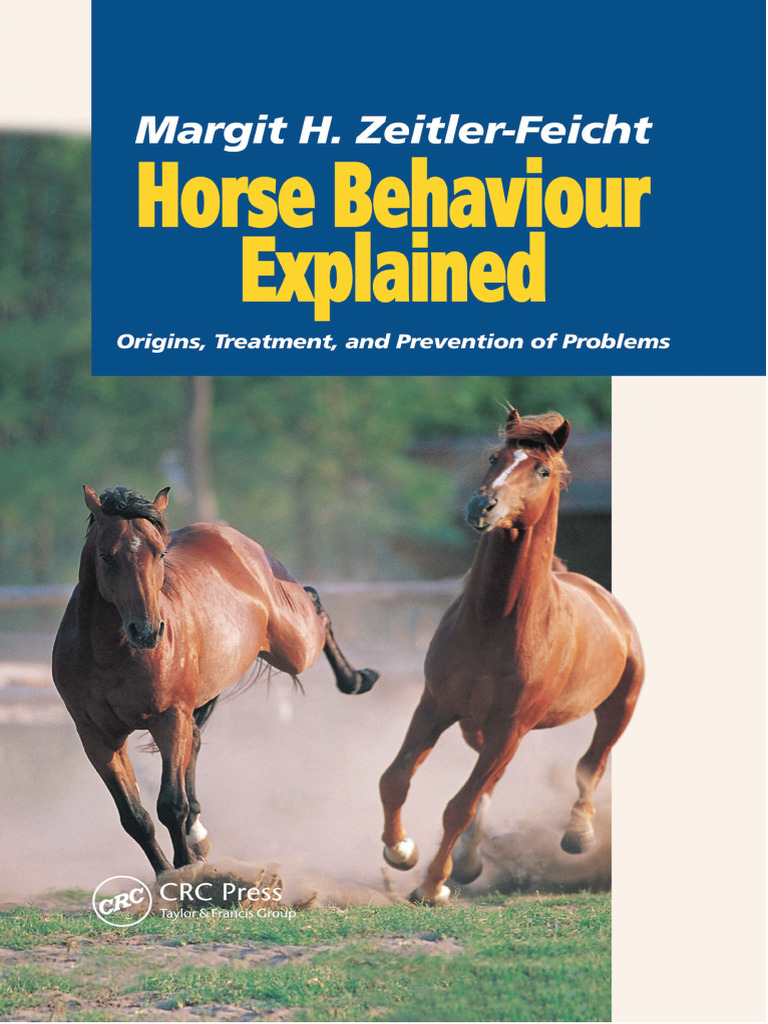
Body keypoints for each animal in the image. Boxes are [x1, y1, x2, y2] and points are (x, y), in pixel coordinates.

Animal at [52, 485, 377, 876]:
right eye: (106, 556)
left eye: (159, 552)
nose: (147, 631)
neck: (110, 654)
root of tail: (232, 538)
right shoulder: (97, 737)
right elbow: (135, 817)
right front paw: (167, 870)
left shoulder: (169, 717)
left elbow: (170, 804)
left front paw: (184, 868)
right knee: (193, 746)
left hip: (294, 647)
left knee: (316, 606)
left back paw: (357, 678)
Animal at [379, 408, 644, 905]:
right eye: (493, 458)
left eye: (542, 470)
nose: (482, 506)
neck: (495, 624)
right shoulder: (435, 705)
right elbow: (396, 779)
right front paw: (401, 851)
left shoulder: (510, 726)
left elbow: (459, 805)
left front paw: (432, 886)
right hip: (476, 728)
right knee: (492, 783)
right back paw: (468, 860)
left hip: (619, 705)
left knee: (591, 763)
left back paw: (578, 835)